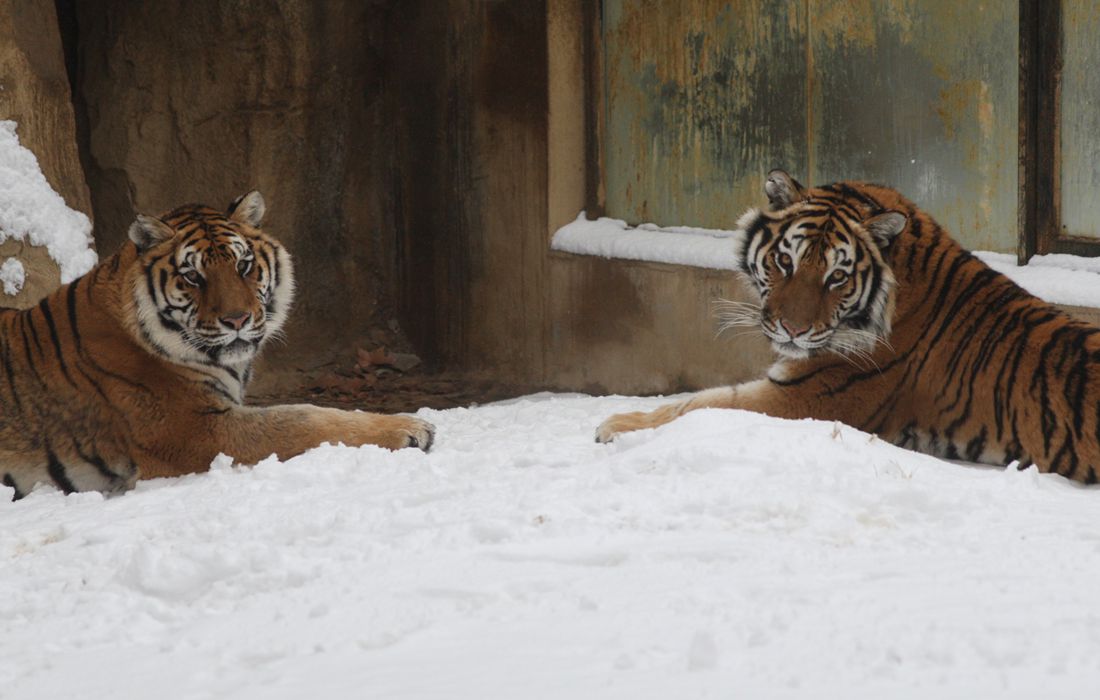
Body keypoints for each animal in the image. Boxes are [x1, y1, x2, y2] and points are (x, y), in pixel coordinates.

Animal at [0, 191, 434, 499]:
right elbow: (302, 420)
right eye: (193, 276)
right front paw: (410, 427)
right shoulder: (197, 428)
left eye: (243, 266)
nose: (237, 320)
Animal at [597, 169, 1100, 484]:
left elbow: (700, 405)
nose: (793, 330)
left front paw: (615, 425)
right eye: (785, 261)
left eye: (837, 276)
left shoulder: (803, 398)